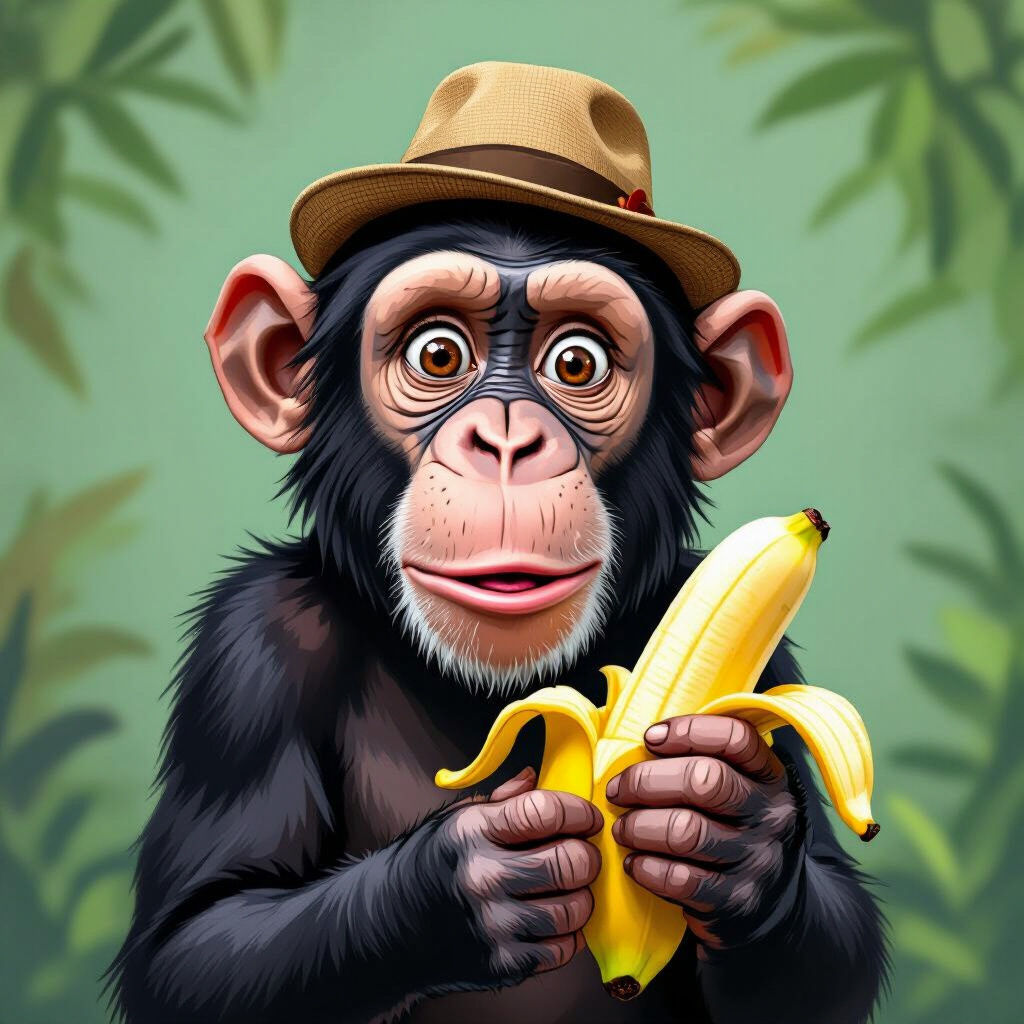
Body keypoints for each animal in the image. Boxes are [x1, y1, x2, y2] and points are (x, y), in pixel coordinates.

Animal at [107, 200, 887, 1024]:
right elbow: (194, 944)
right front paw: (462, 887)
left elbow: (828, 963)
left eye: (577, 364)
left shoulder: (770, 669)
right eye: (439, 354)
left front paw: (737, 831)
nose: (508, 442)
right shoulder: (253, 649)